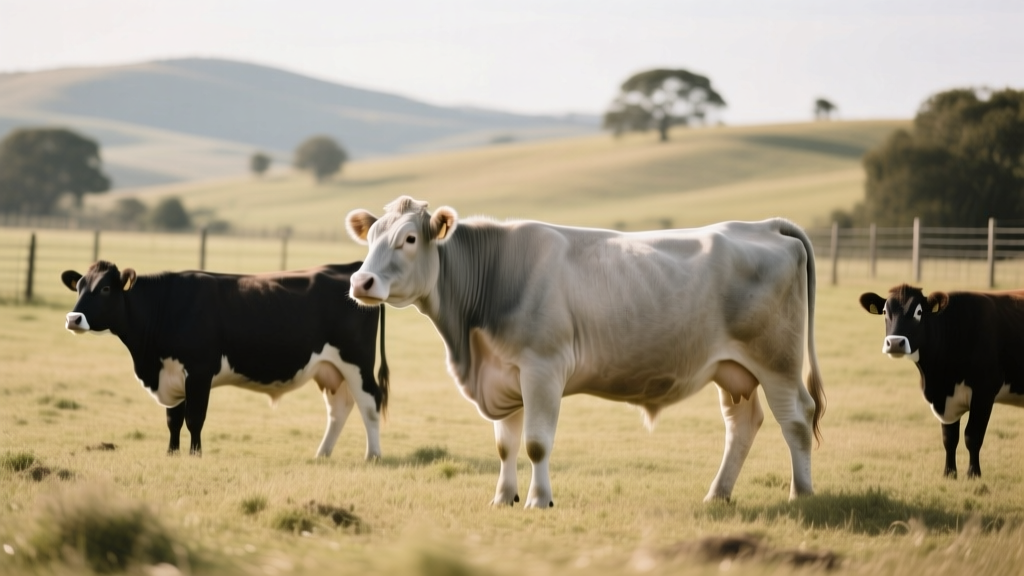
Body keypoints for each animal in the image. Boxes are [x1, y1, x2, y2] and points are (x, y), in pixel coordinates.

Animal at [61, 260, 389, 459]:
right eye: (79, 286)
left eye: (105, 288)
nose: (73, 318)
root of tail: (348, 269)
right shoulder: (172, 374)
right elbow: (172, 420)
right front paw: (172, 453)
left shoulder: (199, 371)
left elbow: (194, 419)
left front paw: (195, 455)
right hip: (329, 369)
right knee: (339, 408)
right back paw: (322, 454)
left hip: (357, 362)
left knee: (370, 404)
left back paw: (372, 456)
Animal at [345, 196, 825, 507]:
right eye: (371, 236)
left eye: (409, 239)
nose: (360, 282)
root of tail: (763, 225)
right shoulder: (503, 376)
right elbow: (505, 444)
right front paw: (502, 498)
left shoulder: (542, 368)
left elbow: (536, 443)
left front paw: (539, 501)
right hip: (732, 370)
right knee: (742, 424)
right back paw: (717, 495)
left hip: (778, 362)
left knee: (796, 418)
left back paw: (800, 494)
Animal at [859, 284, 1024, 478]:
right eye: (885, 311)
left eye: (919, 312)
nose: (895, 343)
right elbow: (949, 438)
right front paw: (949, 474)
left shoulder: (984, 393)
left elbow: (973, 436)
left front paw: (973, 474)